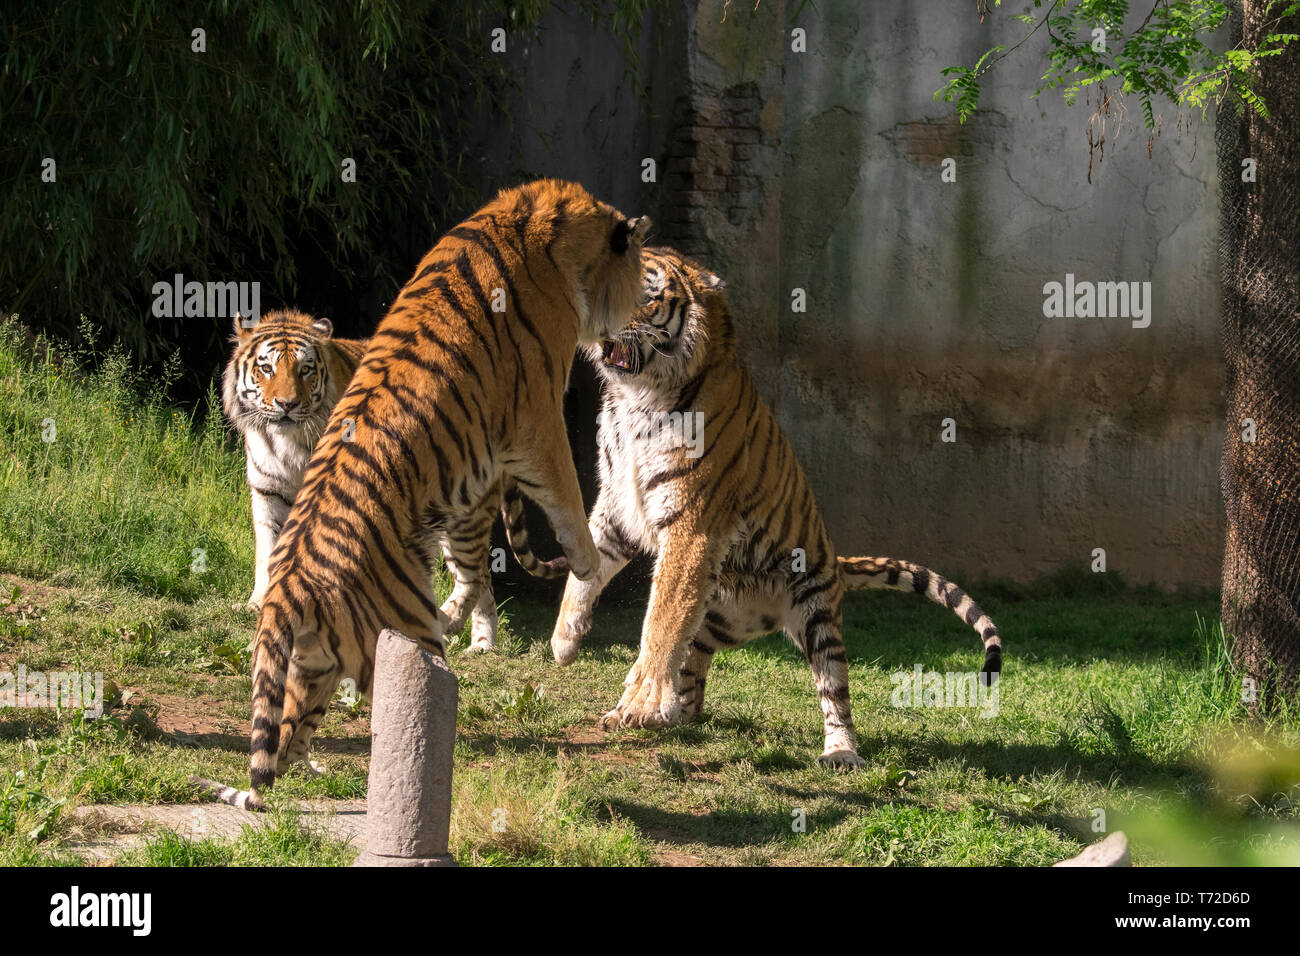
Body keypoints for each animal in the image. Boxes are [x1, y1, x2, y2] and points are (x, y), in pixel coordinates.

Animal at [220, 308, 564, 652]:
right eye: (266, 368)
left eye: (305, 370)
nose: (287, 404)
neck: (288, 441)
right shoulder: (269, 491)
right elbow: (268, 550)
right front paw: (259, 603)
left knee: (477, 575)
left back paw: (474, 639)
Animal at [548, 246, 1003, 767]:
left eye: (643, 295)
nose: (598, 323)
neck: (635, 397)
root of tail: (836, 559)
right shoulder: (619, 506)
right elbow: (585, 574)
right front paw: (564, 642)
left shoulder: (692, 525)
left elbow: (659, 625)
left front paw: (639, 700)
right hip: (722, 617)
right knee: (694, 663)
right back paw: (671, 714)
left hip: (816, 614)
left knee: (833, 690)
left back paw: (840, 752)